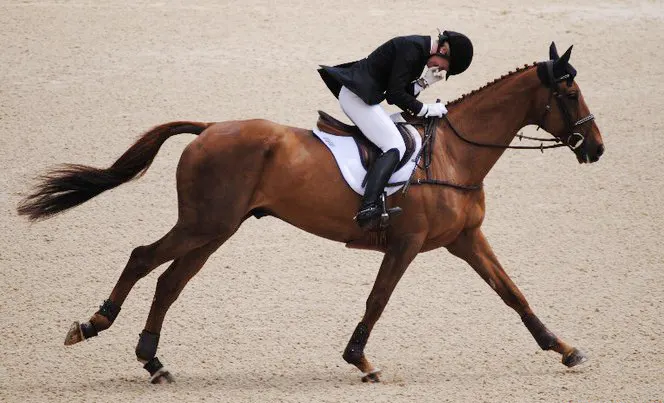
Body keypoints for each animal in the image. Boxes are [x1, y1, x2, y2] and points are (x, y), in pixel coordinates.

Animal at [17, 42, 603, 383]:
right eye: (571, 92)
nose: (596, 149)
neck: (456, 154)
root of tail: (209, 128)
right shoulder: (406, 244)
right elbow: (378, 299)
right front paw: (360, 359)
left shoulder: (466, 239)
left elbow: (513, 293)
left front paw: (564, 348)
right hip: (205, 224)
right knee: (144, 258)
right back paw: (93, 325)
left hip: (216, 230)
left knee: (170, 281)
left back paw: (154, 360)